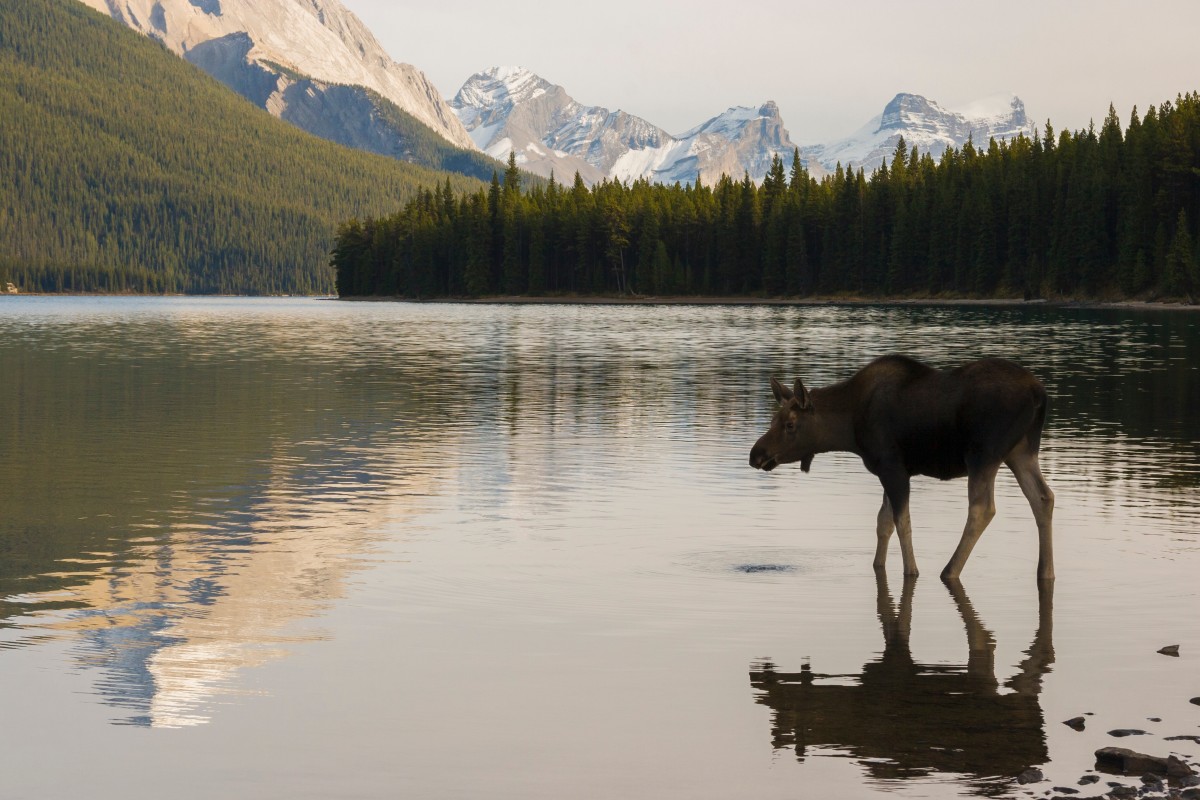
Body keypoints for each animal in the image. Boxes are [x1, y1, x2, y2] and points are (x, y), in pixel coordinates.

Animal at [748, 355, 1055, 581]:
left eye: (789, 424)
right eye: (772, 419)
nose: (756, 455)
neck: (848, 429)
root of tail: (1040, 394)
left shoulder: (892, 467)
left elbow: (901, 522)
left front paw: (912, 570)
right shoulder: (889, 471)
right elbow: (883, 523)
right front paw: (877, 565)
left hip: (984, 454)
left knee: (983, 508)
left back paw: (949, 570)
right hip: (1021, 451)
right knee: (1043, 497)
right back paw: (1046, 572)